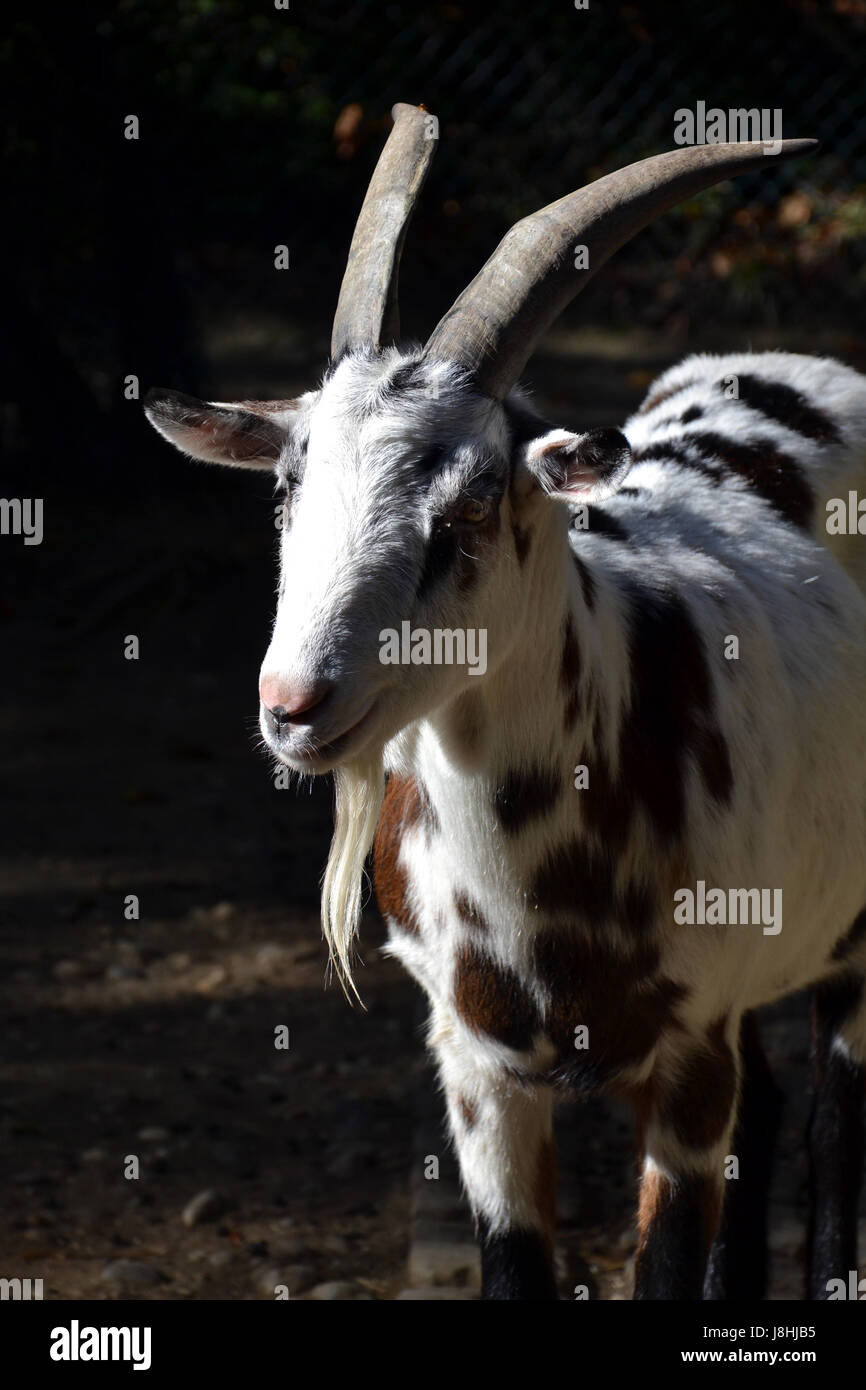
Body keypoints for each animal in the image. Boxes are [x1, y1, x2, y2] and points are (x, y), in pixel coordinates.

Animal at [144, 104, 866, 1300]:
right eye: (288, 485)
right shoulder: (478, 1072)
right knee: (771, 1112)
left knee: (833, 1131)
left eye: (474, 499)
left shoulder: (687, 1058)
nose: (293, 704)